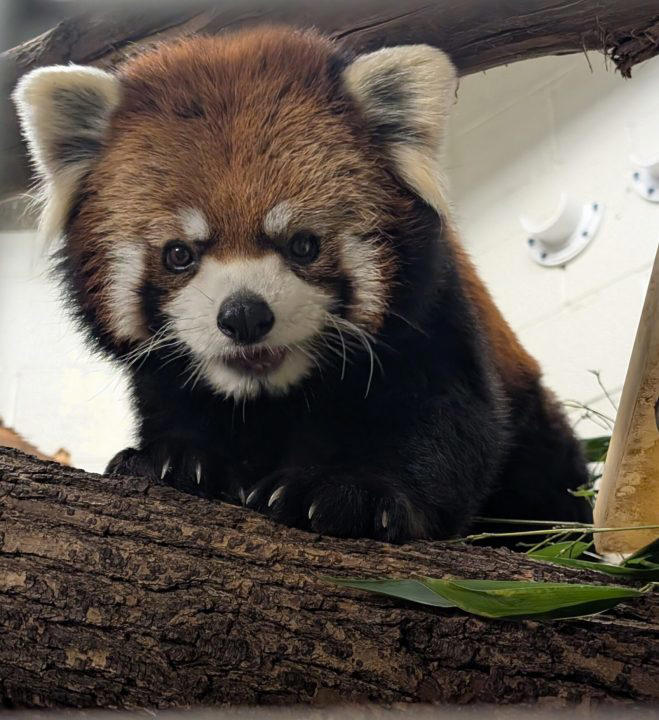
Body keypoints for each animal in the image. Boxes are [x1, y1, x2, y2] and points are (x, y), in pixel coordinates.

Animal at [13, 26, 591, 542]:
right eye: (179, 254)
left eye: (303, 245)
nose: (244, 315)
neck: (273, 396)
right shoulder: (162, 374)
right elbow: (172, 407)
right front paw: (170, 460)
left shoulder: (435, 313)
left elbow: (448, 422)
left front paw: (357, 492)